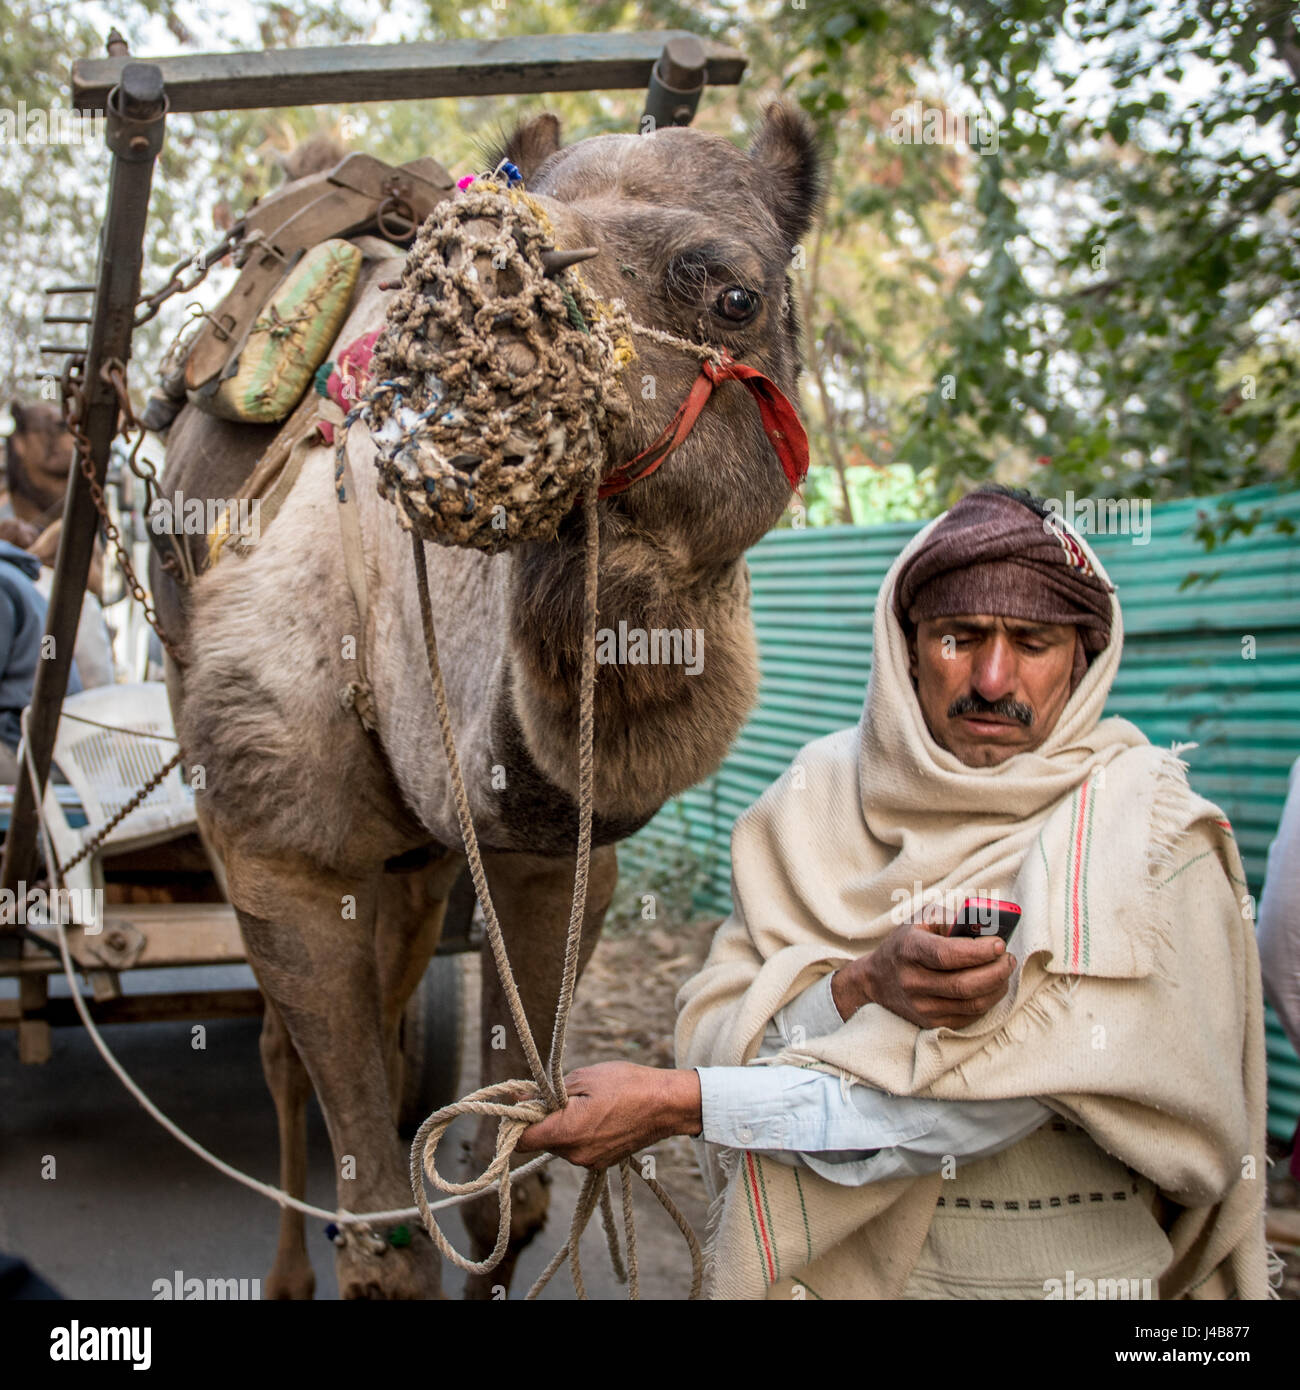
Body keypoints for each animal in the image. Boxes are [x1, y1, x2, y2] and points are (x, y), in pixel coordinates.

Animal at [150, 102, 823, 1299]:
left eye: (734, 295)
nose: (480, 273)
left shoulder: (556, 861)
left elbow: (511, 1184)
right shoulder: (274, 848)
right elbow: (383, 1225)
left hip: (417, 864)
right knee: (286, 1058)